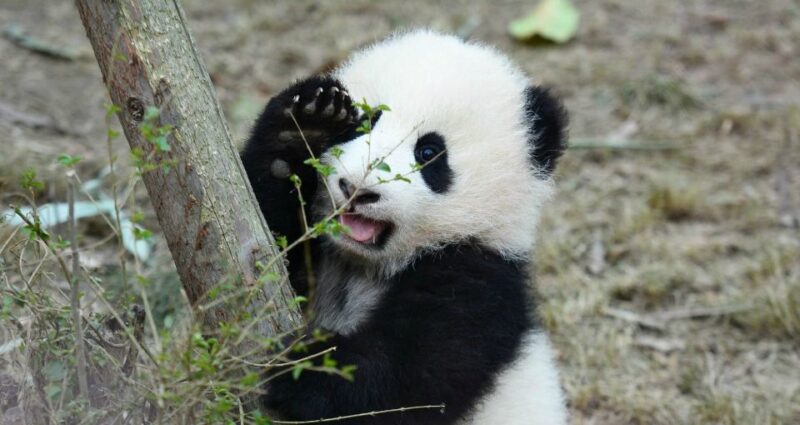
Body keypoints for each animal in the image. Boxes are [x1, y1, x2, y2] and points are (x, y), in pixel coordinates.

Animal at [241, 30, 569, 425]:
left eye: (428, 153)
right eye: (366, 122)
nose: (358, 188)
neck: (363, 264)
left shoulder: (479, 277)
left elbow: (415, 378)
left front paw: (303, 370)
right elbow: (269, 234)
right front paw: (304, 125)